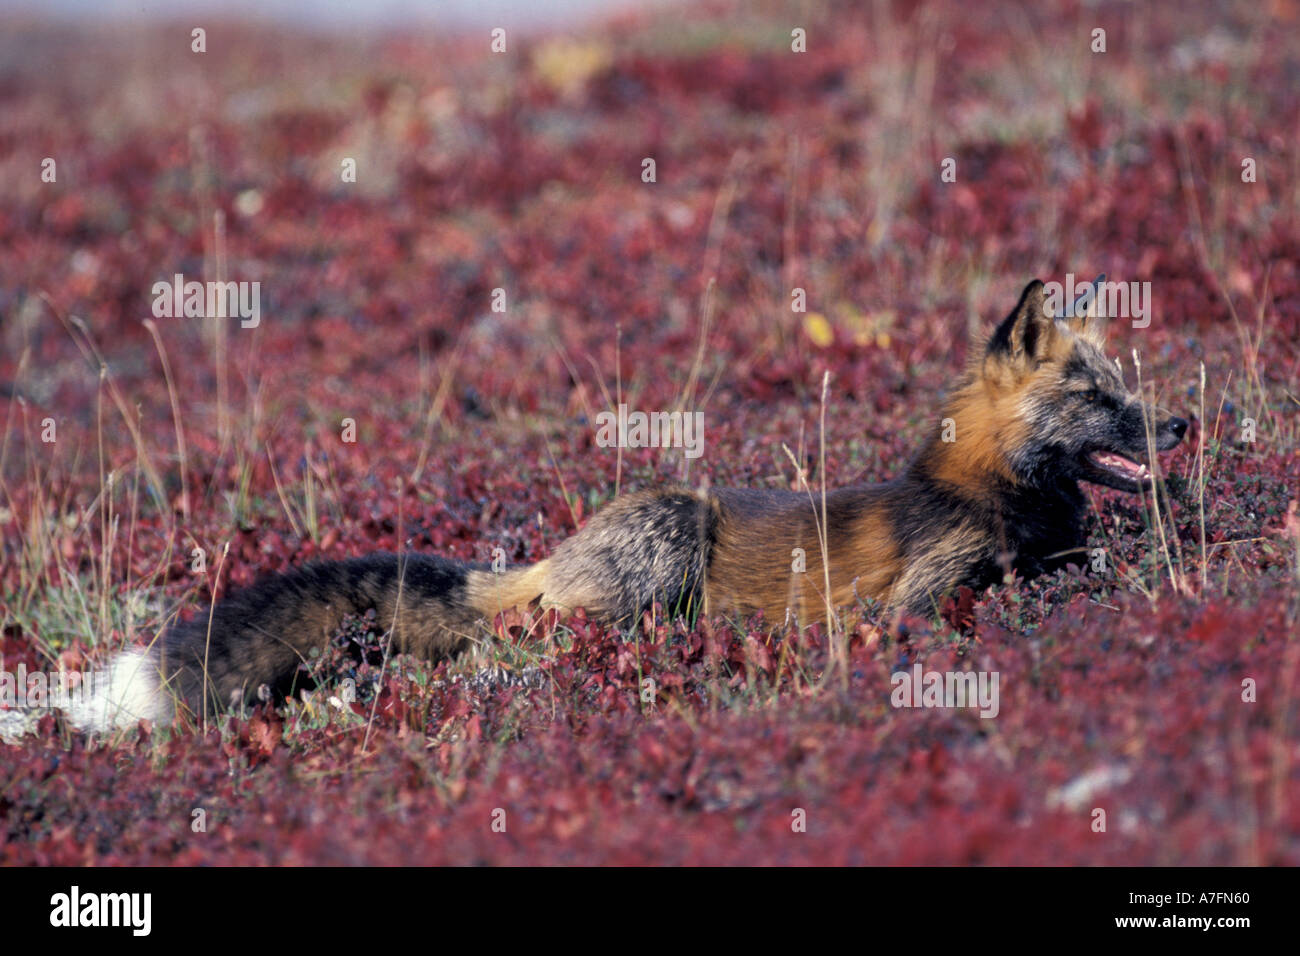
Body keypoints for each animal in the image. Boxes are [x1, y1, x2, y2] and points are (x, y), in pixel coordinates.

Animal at [77, 277, 1187, 732]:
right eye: (1098, 397)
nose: (1178, 425)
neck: (990, 495)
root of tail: (545, 557)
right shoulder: (910, 601)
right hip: (670, 527)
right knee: (510, 652)